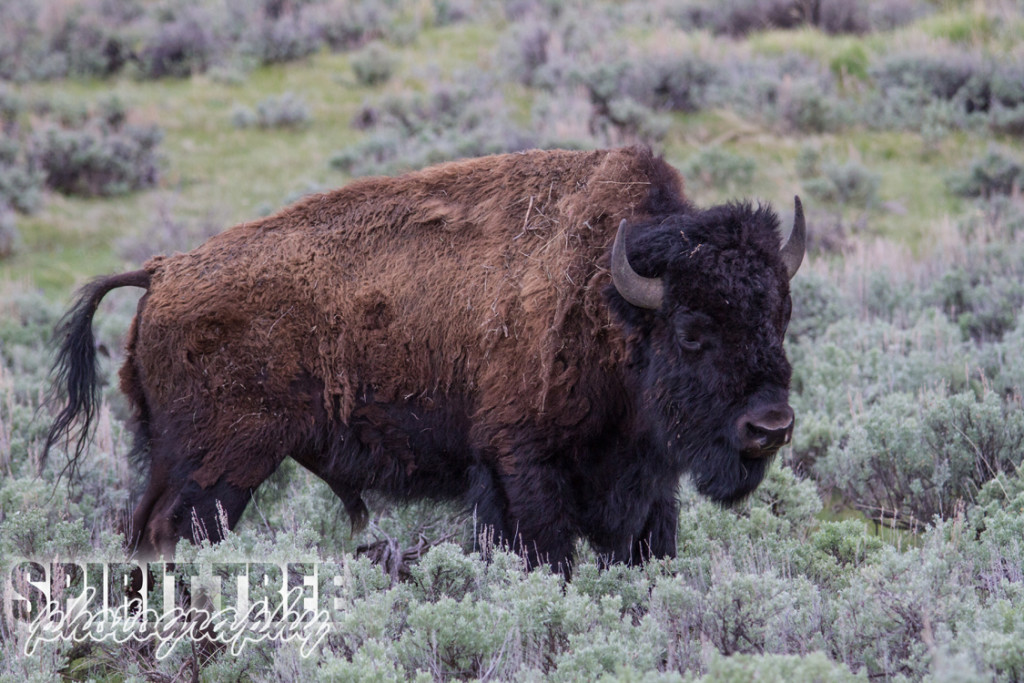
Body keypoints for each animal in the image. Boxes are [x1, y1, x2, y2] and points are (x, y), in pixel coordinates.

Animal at [46, 146, 805, 574]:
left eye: (780, 316)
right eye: (694, 331)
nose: (770, 426)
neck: (611, 300)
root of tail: (164, 270)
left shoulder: (646, 488)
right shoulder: (523, 468)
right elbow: (547, 555)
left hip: (171, 458)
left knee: (145, 530)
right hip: (222, 466)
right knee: (177, 532)